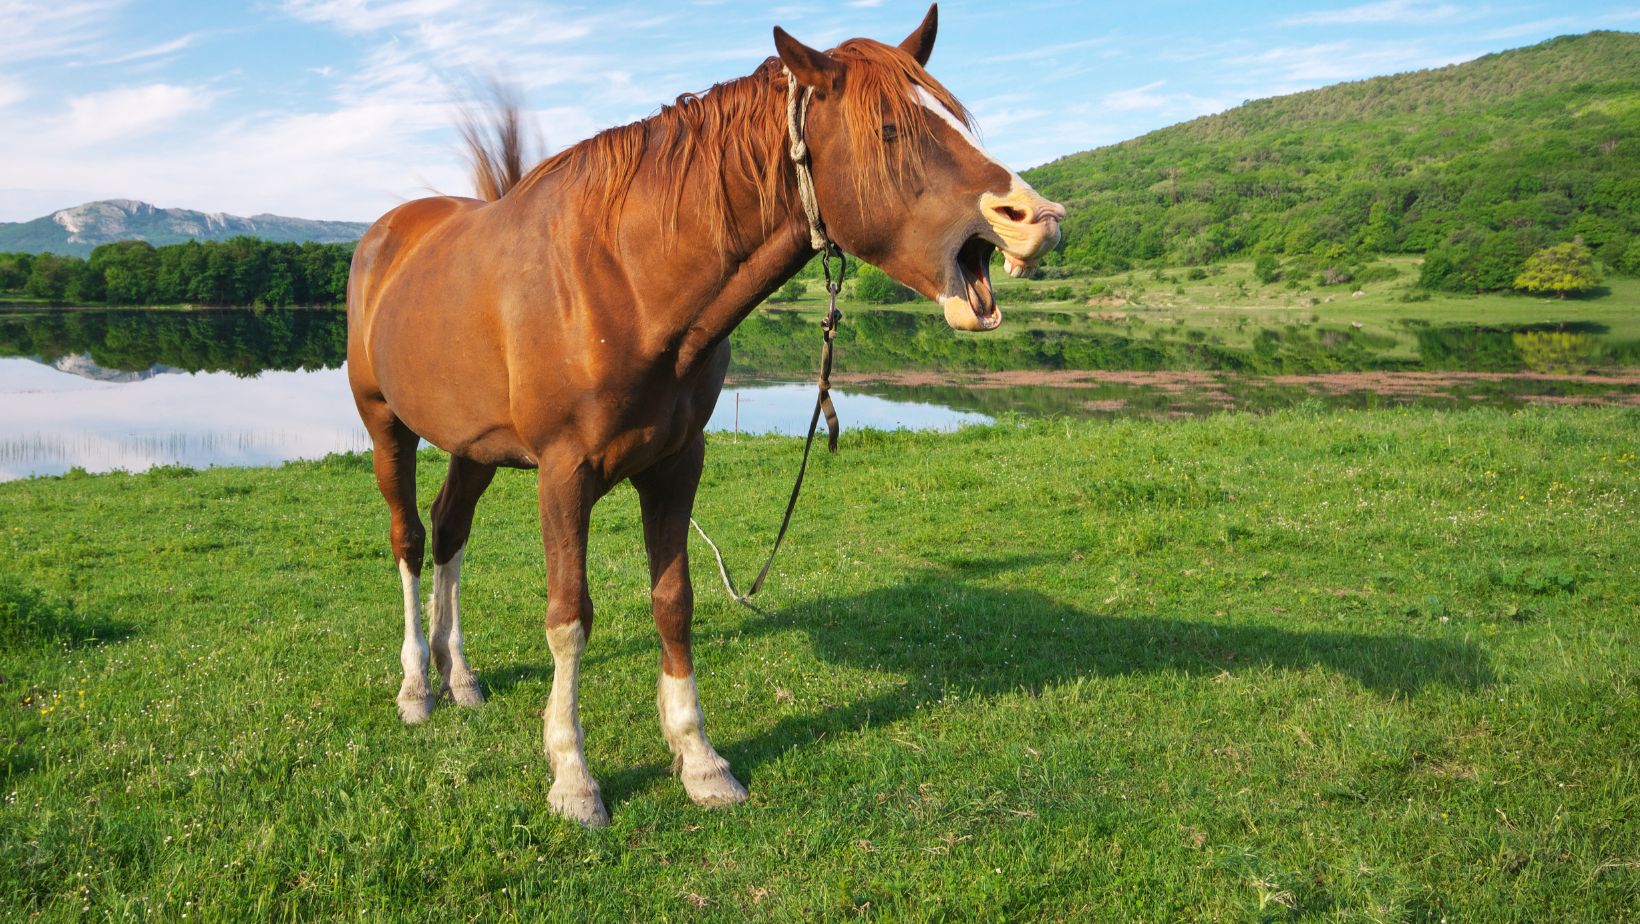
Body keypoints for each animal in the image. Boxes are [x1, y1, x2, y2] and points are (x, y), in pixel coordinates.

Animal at [346, 4, 1064, 827]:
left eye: (953, 119)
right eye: (890, 130)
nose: (1037, 218)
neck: (623, 278)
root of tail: (387, 236)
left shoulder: (675, 466)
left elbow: (673, 603)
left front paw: (699, 759)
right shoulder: (563, 474)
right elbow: (568, 618)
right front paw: (573, 776)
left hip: (475, 445)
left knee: (449, 529)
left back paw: (458, 673)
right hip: (386, 427)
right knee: (408, 538)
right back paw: (416, 686)